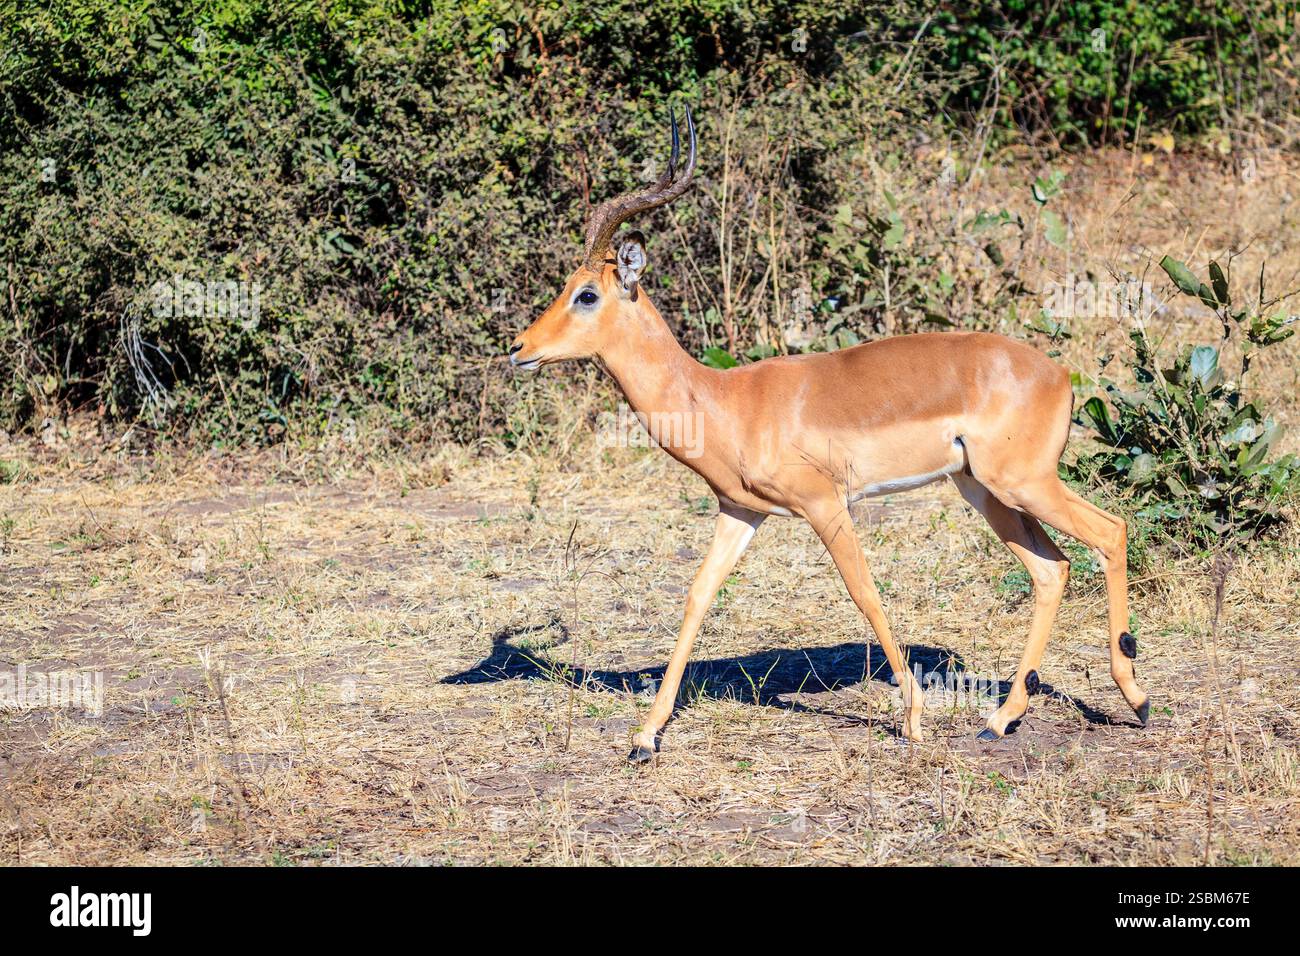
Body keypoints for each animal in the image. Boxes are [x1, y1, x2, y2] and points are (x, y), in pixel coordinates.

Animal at [508, 107, 1150, 763]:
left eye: (587, 293)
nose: (519, 348)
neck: (722, 401)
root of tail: (1061, 374)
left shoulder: (824, 504)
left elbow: (863, 590)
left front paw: (913, 721)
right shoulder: (740, 512)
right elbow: (697, 596)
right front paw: (644, 737)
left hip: (1023, 482)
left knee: (1110, 531)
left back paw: (1137, 699)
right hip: (982, 490)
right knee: (1052, 568)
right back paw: (1001, 719)